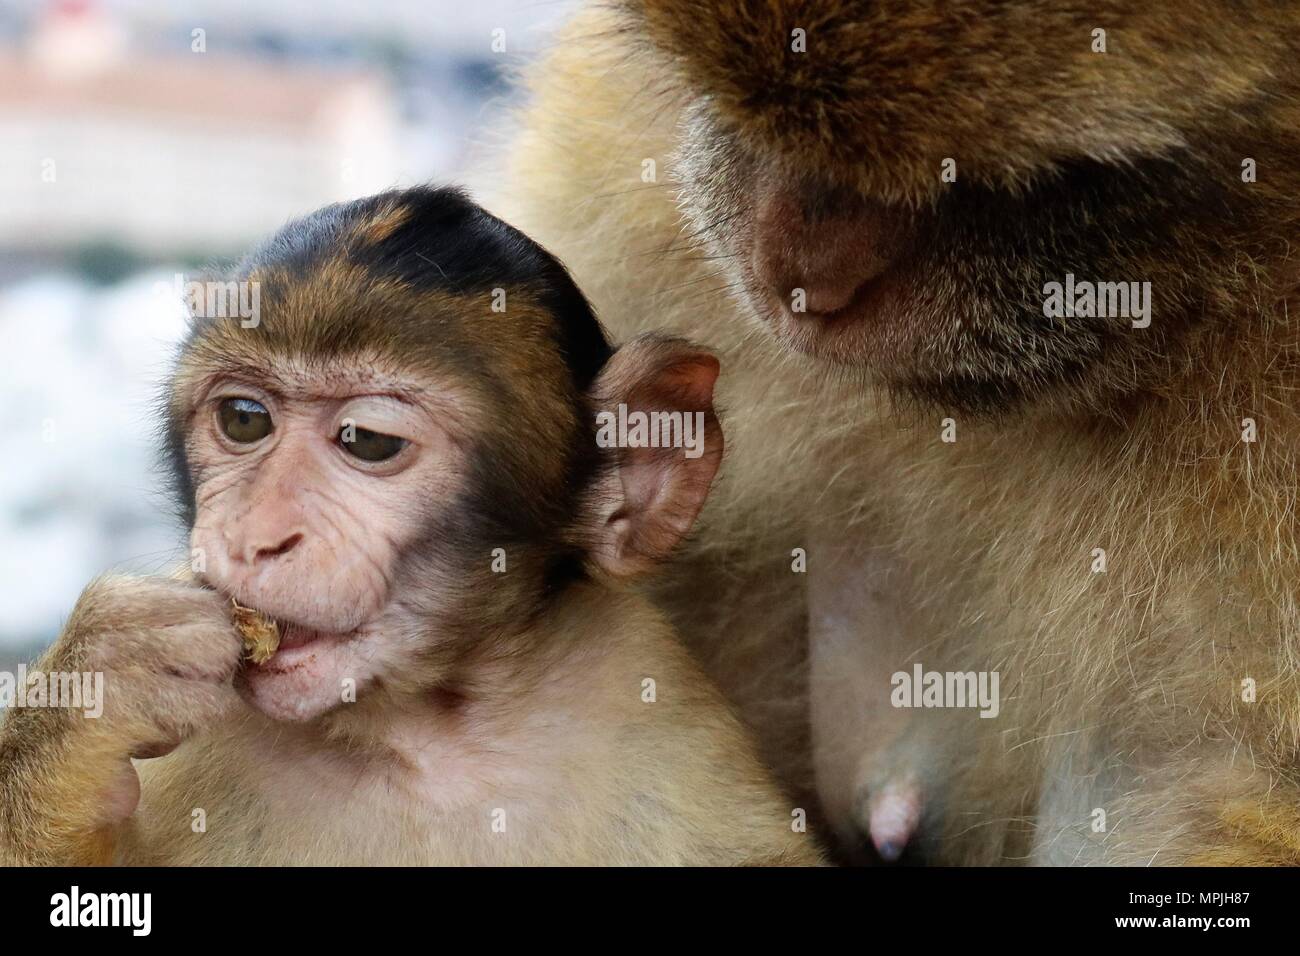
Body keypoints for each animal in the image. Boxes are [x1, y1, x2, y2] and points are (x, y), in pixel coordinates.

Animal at [0, 186, 823, 866]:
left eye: (367, 440)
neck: (426, 740)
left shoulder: (663, 716)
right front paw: (95, 684)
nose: (251, 537)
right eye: (244, 420)